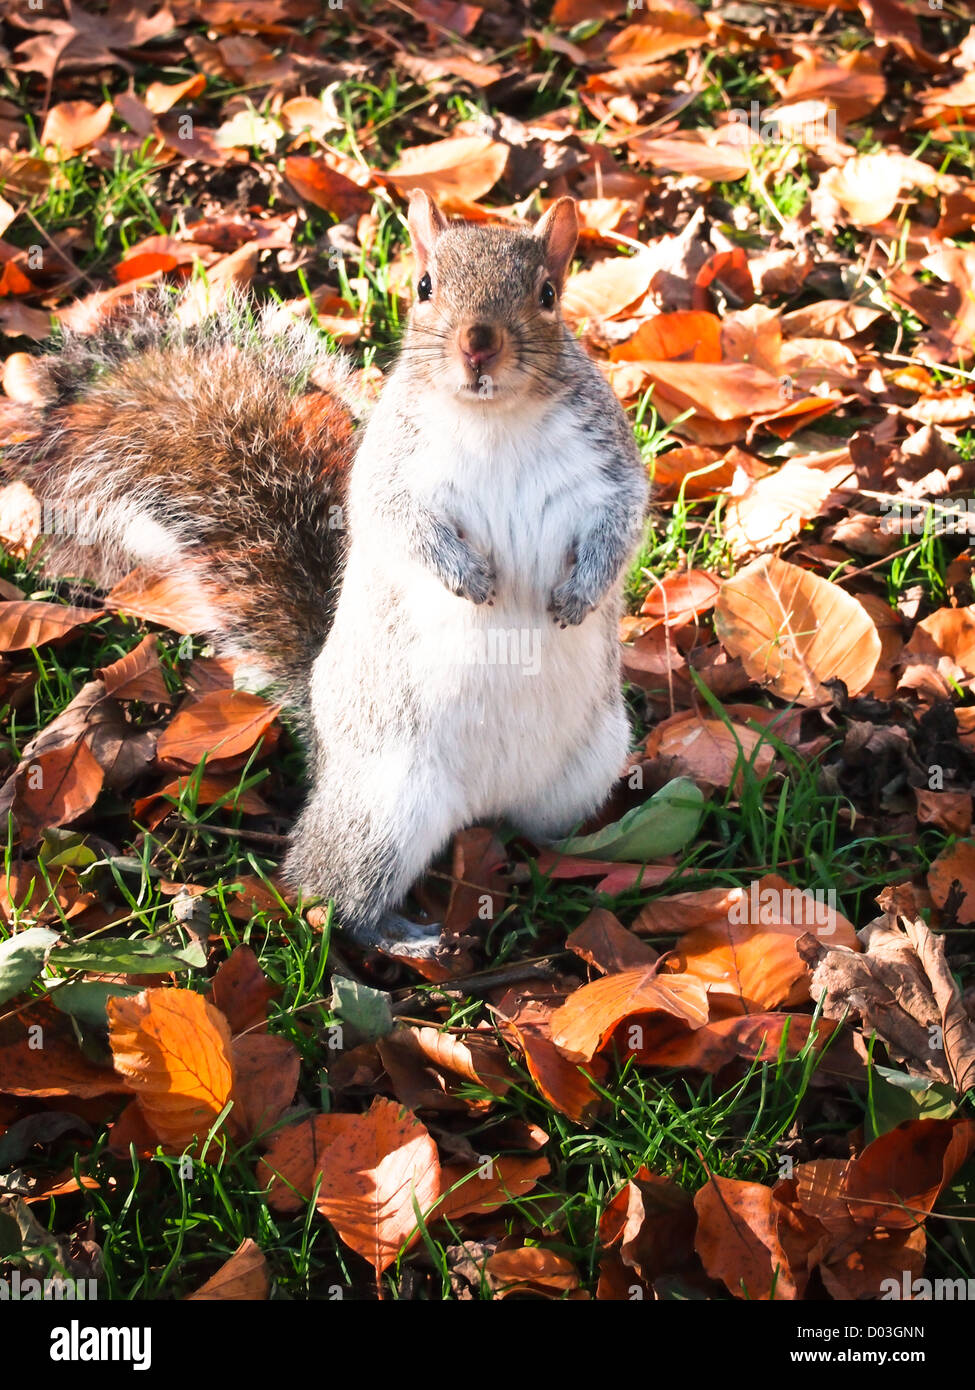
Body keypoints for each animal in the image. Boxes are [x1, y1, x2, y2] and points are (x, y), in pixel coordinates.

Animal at [3, 193, 649, 955]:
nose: (478, 344)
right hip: (383, 810)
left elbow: (620, 522)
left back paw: (581, 861)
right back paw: (401, 935)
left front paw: (582, 591)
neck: (495, 418)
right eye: (424, 286)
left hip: (586, 768)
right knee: (327, 892)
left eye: (548, 295)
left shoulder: (608, 467)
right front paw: (465, 576)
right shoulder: (389, 472)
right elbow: (401, 524)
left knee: (541, 833)